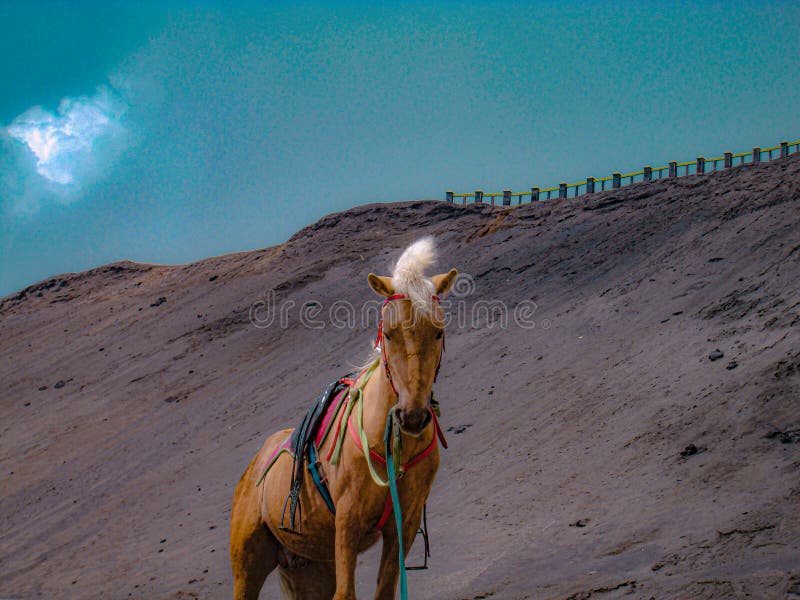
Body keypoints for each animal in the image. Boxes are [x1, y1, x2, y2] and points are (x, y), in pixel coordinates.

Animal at [230, 237, 458, 599]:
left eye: (438, 332)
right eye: (389, 333)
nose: (412, 416)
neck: (391, 445)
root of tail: (253, 467)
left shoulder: (403, 525)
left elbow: (384, 590)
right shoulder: (348, 522)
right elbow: (347, 593)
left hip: (310, 567)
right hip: (249, 566)